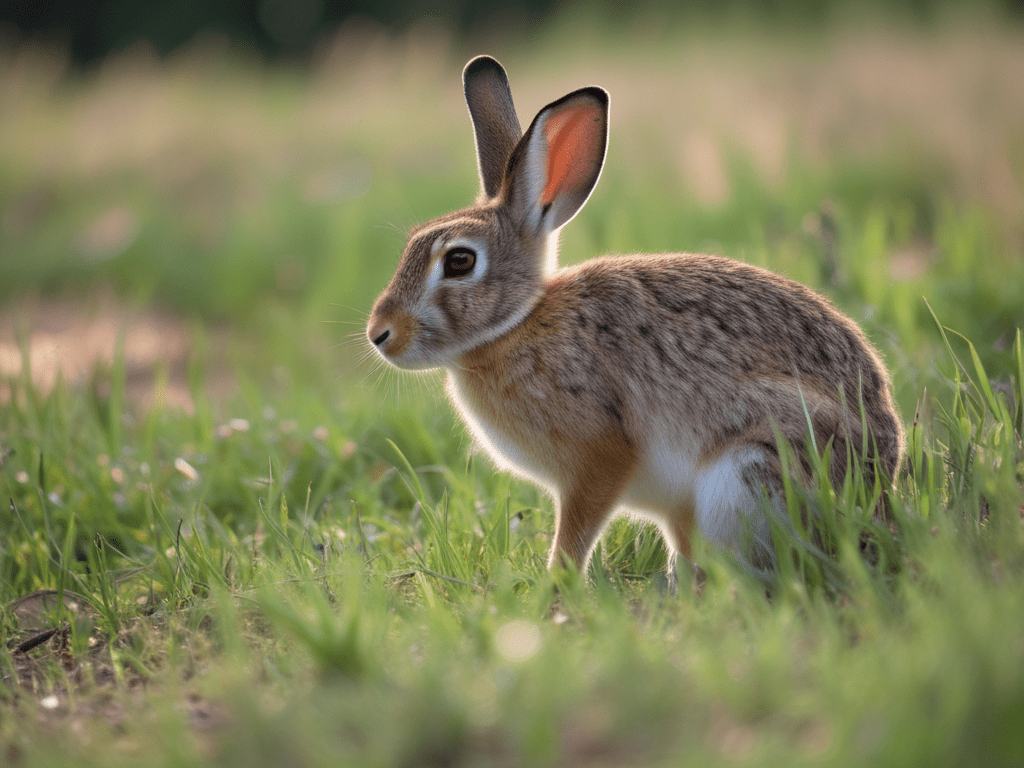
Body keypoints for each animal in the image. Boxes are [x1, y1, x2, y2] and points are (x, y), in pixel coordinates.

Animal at [366, 55, 905, 575]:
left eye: (460, 261)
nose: (380, 334)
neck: (518, 324)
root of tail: (878, 491)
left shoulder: (599, 455)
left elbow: (575, 536)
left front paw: (556, 590)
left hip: (748, 470)